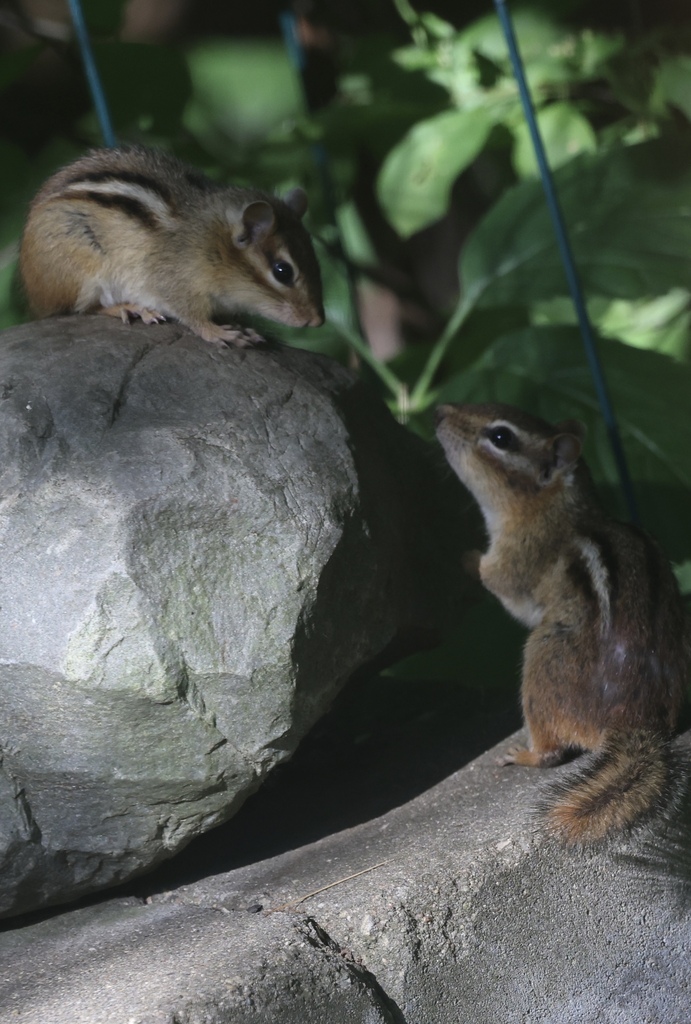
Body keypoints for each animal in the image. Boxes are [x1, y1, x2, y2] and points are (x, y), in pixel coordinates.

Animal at [18, 145, 324, 347]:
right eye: (283, 271)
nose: (317, 321)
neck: (211, 243)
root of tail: (35, 296)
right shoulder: (175, 281)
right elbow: (191, 315)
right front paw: (218, 332)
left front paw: (241, 327)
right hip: (79, 268)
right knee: (82, 308)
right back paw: (130, 308)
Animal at [435, 401, 690, 844]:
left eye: (501, 437)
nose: (439, 411)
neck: (556, 504)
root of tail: (635, 723)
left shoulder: (518, 556)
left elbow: (496, 579)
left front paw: (463, 556)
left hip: (541, 654)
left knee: (552, 752)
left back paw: (525, 754)